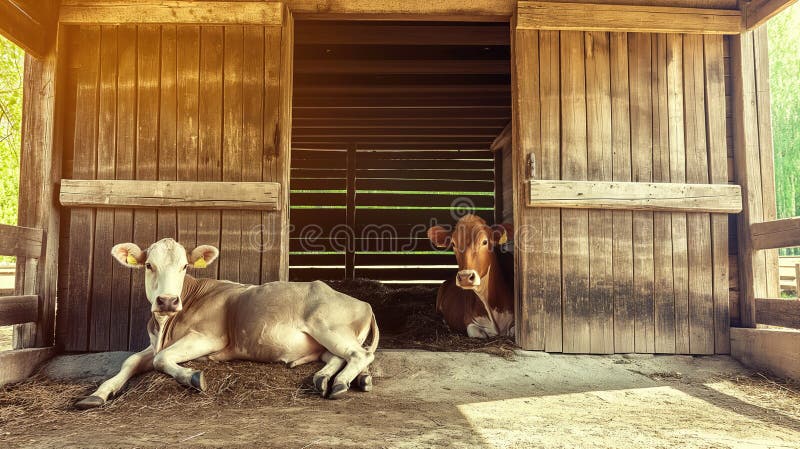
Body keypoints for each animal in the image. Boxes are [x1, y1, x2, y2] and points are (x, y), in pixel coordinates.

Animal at [75, 238, 379, 409]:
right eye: (149, 265)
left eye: (185, 266)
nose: (167, 301)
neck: (164, 327)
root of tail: (363, 302)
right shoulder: (154, 343)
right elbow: (130, 362)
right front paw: (98, 394)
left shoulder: (210, 337)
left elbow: (162, 359)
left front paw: (193, 376)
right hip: (323, 342)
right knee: (339, 357)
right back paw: (326, 378)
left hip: (326, 326)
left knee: (360, 354)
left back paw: (340, 383)